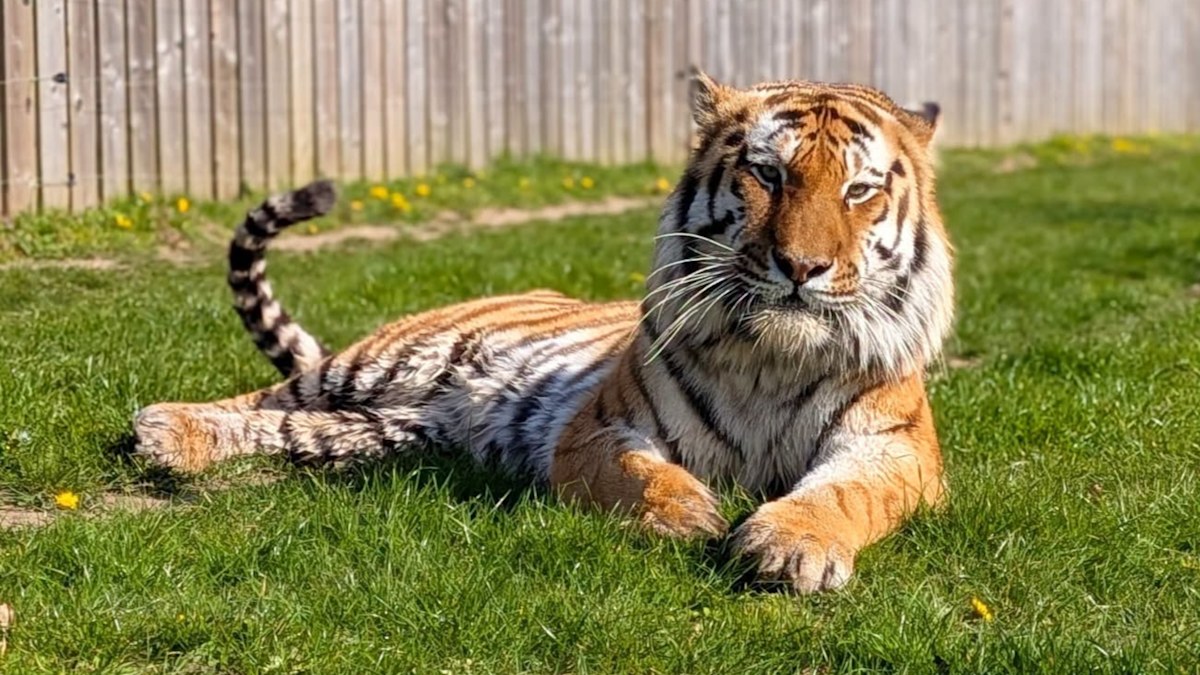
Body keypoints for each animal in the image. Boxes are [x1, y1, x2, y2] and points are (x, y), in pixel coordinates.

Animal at [134, 71, 953, 593]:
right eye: (768, 174)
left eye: (859, 190)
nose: (802, 266)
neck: (773, 357)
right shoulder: (599, 428)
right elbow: (639, 474)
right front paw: (689, 514)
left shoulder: (895, 448)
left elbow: (845, 494)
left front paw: (791, 544)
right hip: (383, 361)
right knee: (267, 397)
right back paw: (165, 428)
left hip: (387, 430)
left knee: (294, 428)